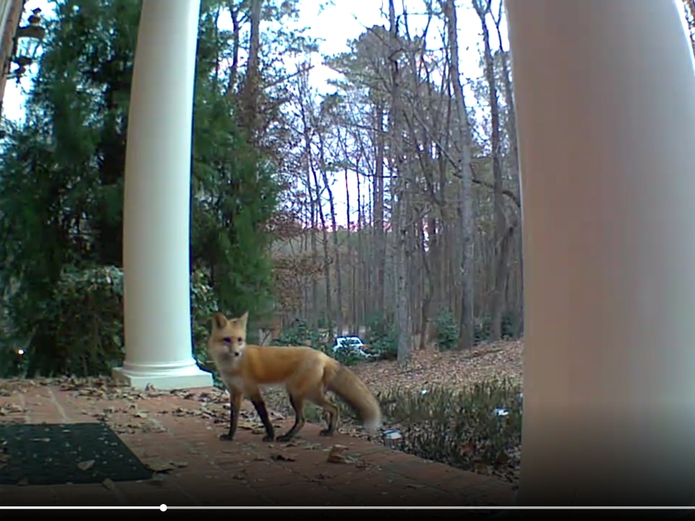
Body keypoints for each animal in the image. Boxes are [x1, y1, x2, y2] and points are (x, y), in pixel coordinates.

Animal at [207, 311, 382, 443]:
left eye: (239, 340)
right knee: (333, 408)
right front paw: (230, 436)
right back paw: (329, 431)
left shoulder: (253, 390)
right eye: (227, 339)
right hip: (305, 394)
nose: (237, 353)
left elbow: (264, 416)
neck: (233, 366)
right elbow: (234, 418)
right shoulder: (235, 392)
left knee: (312, 416)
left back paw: (288, 437)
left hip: (299, 393)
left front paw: (270, 435)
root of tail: (322, 355)